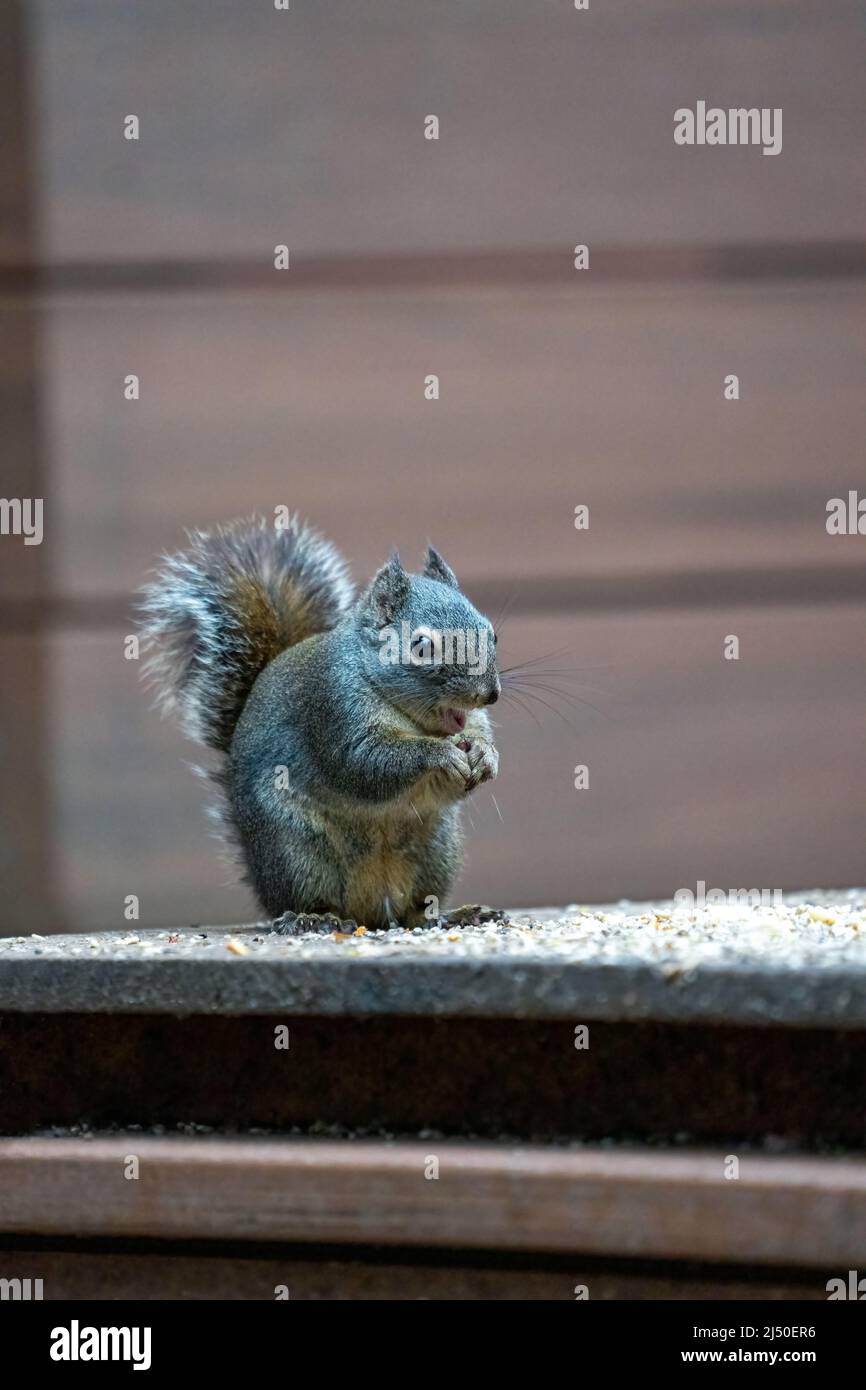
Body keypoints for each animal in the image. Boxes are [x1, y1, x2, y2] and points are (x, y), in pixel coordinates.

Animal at [139, 514, 502, 932]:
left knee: (417, 909)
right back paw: (312, 918)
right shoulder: (334, 708)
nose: (489, 694)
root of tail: (372, 908)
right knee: (310, 898)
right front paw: (441, 754)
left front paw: (486, 755)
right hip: (296, 851)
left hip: (436, 848)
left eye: (492, 633)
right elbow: (365, 764)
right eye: (422, 646)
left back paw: (455, 915)